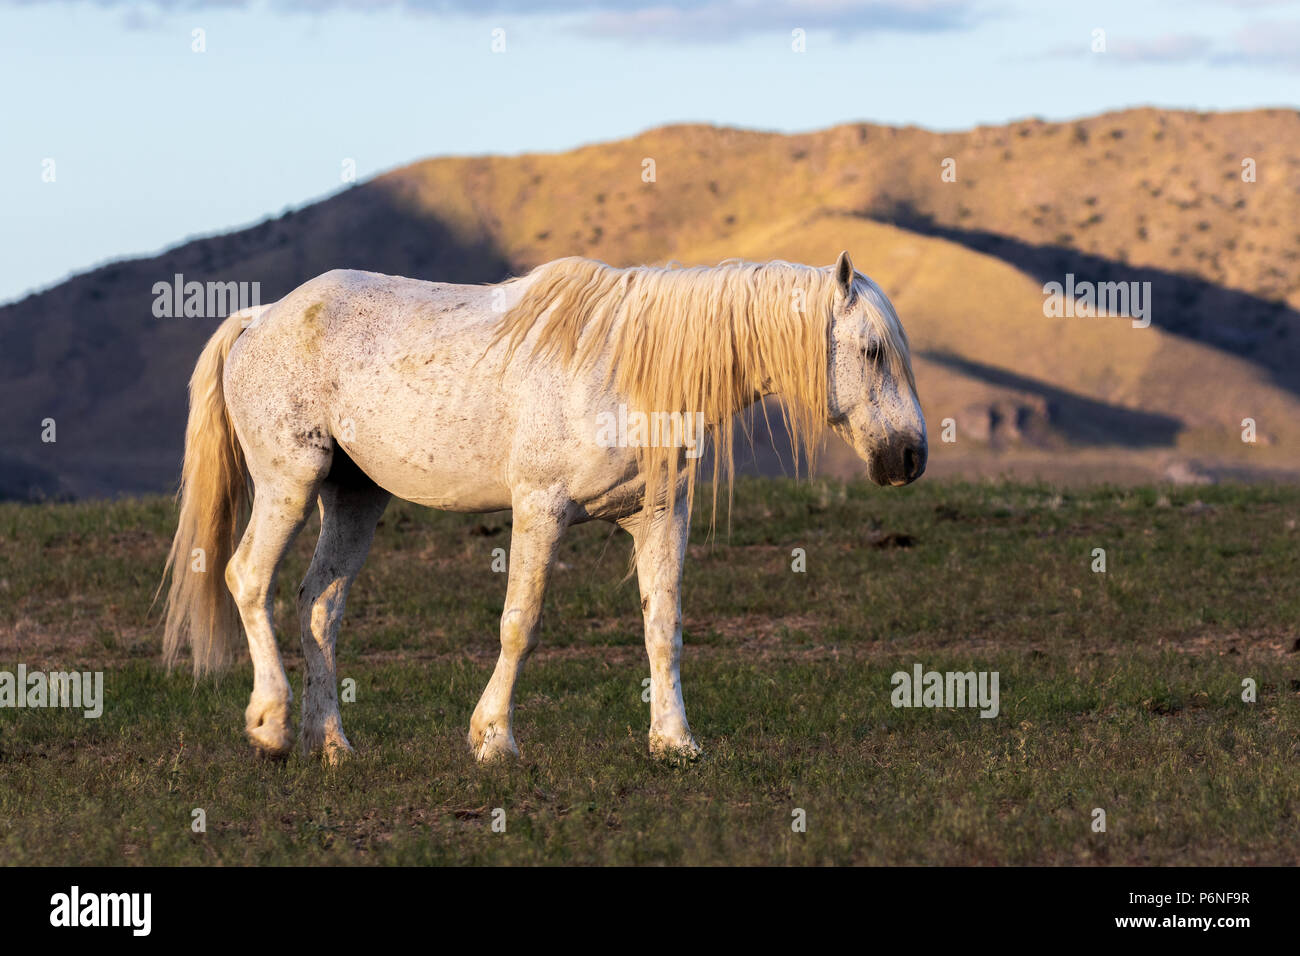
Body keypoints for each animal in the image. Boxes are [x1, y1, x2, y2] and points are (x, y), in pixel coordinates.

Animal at [159, 251, 926, 764]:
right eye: (871, 350)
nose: (910, 457)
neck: (623, 370)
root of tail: (261, 317)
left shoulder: (659, 517)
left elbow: (664, 628)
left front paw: (674, 741)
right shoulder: (539, 510)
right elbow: (519, 625)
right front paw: (493, 739)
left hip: (354, 498)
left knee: (319, 605)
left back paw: (334, 746)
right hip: (290, 481)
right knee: (247, 580)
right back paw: (271, 726)